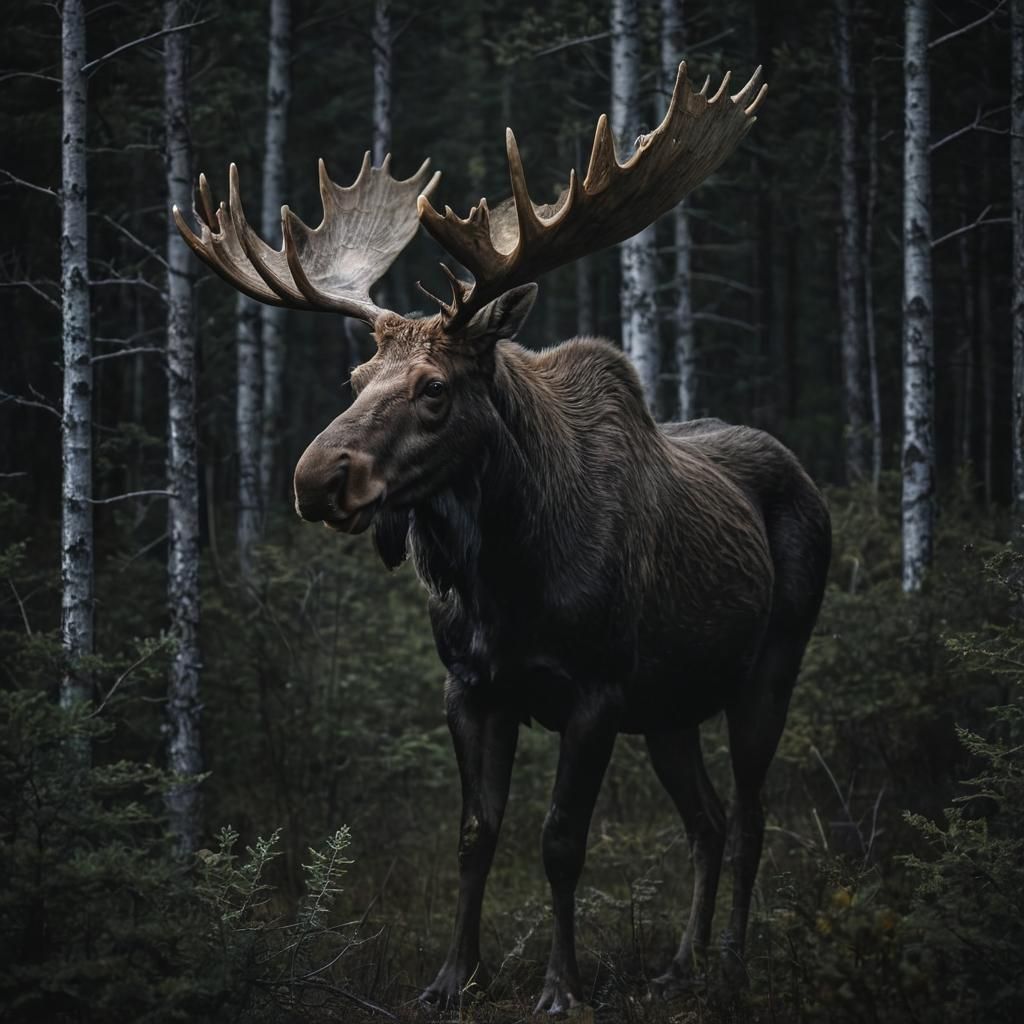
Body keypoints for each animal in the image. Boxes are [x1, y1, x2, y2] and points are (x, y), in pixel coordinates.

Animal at [175, 62, 831, 1015]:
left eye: (435, 387)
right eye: (356, 376)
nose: (316, 476)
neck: (504, 578)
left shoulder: (595, 691)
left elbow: (560, 842)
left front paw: (562, 987)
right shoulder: (473, 687)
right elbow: (475, 835)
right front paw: (452, 979)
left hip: (769, 669)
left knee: (749, 816)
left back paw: (734, 963)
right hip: (669, 705)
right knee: (705, 820)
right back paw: (682, 961)